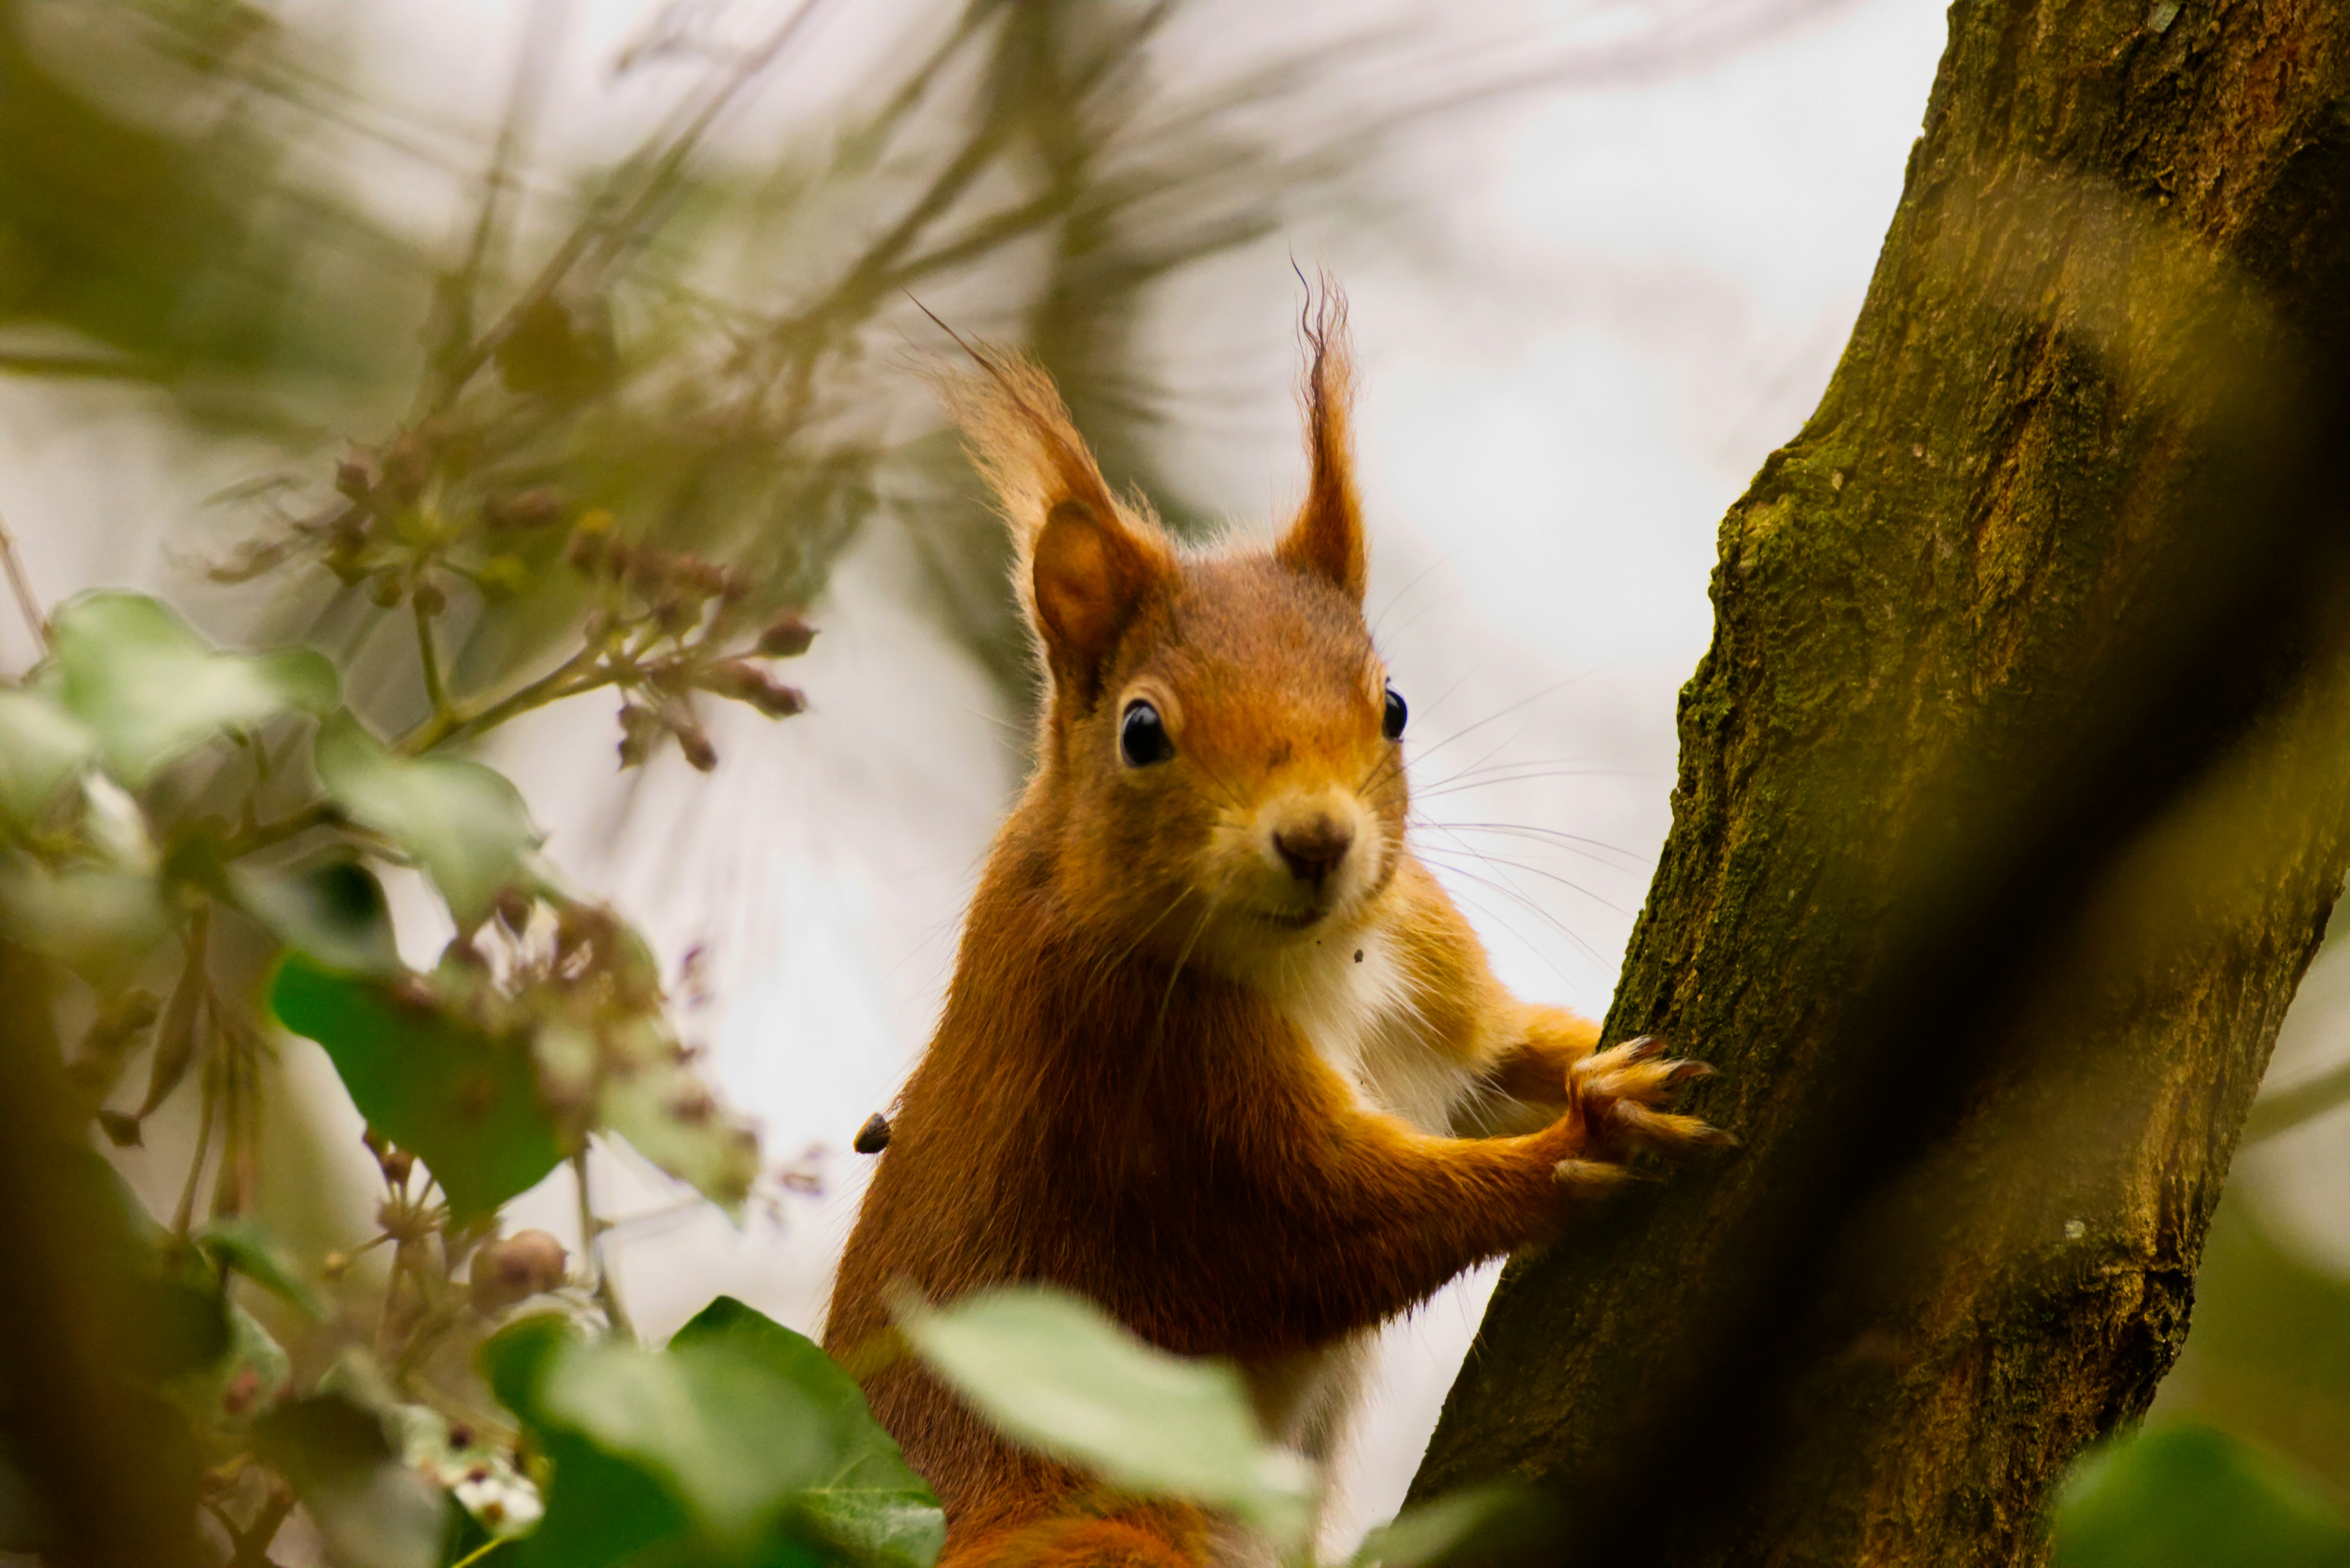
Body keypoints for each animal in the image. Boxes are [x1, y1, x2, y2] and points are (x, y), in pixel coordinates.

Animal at [822, 293, 1723, 1568]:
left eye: (1392, 704)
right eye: (1142, 731)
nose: (1316, 840)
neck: (1320, 957)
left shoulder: (1430, 984)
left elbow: (1511, 1059)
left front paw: (1600, 1071)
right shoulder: (1161, 1096)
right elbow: (1338, 1228)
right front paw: (1591, 1138)